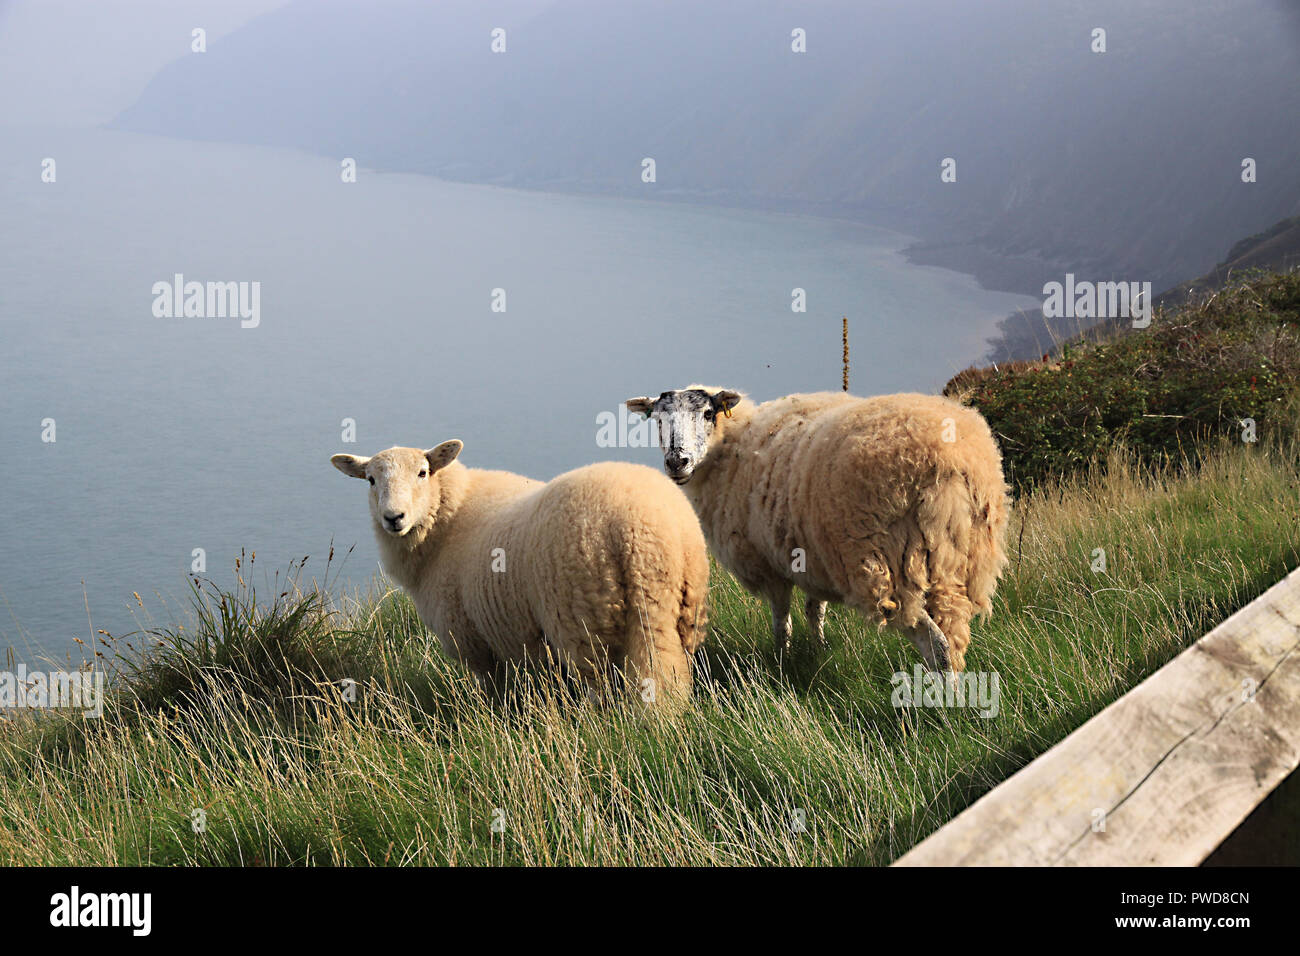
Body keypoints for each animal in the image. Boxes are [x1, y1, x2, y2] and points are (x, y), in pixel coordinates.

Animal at [330, 441, 709, 709]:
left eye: (423, 472)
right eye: (371, 479)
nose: (393, 518)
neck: (445, 520)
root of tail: (642, 533)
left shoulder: (473, 640)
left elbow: (492, 691)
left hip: (583, 621)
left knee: (598, 688)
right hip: (683, 610)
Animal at [623, 387, 1009, 672]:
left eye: (706, 413)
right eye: (657, 419)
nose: (677, 461)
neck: (728, 450)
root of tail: (951, 460)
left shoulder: (770, 567)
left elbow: (782, 621)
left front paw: (781, 661)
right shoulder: (814, 554)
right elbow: (815, 611)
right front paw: (820, 649)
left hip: (886, 566)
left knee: (935, 643)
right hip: (965, 557)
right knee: (952, 635)